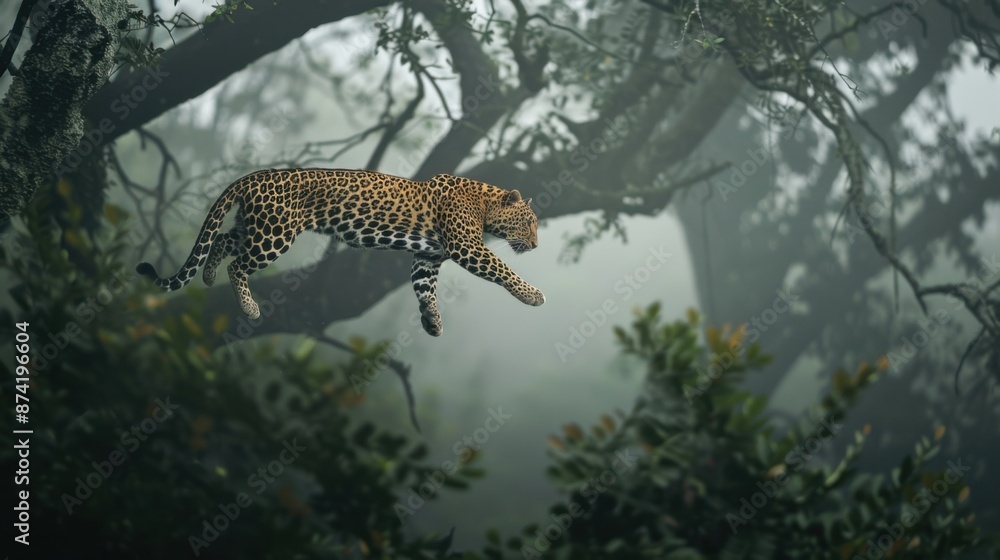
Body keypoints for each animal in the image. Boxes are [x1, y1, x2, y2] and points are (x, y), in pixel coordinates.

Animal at [135, 169, 545, 336]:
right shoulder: (468, 247)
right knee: (238, 264)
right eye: (529, 222)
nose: (537, 245)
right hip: (274, 234)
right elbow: (503, 269)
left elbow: (424, 290)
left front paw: (432, 322)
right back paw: (249, 307)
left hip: (255, 226)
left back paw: (206, 275)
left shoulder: (427, 258)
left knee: (220, 241)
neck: (485, 203)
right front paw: (533, 296)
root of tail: (255, 176)